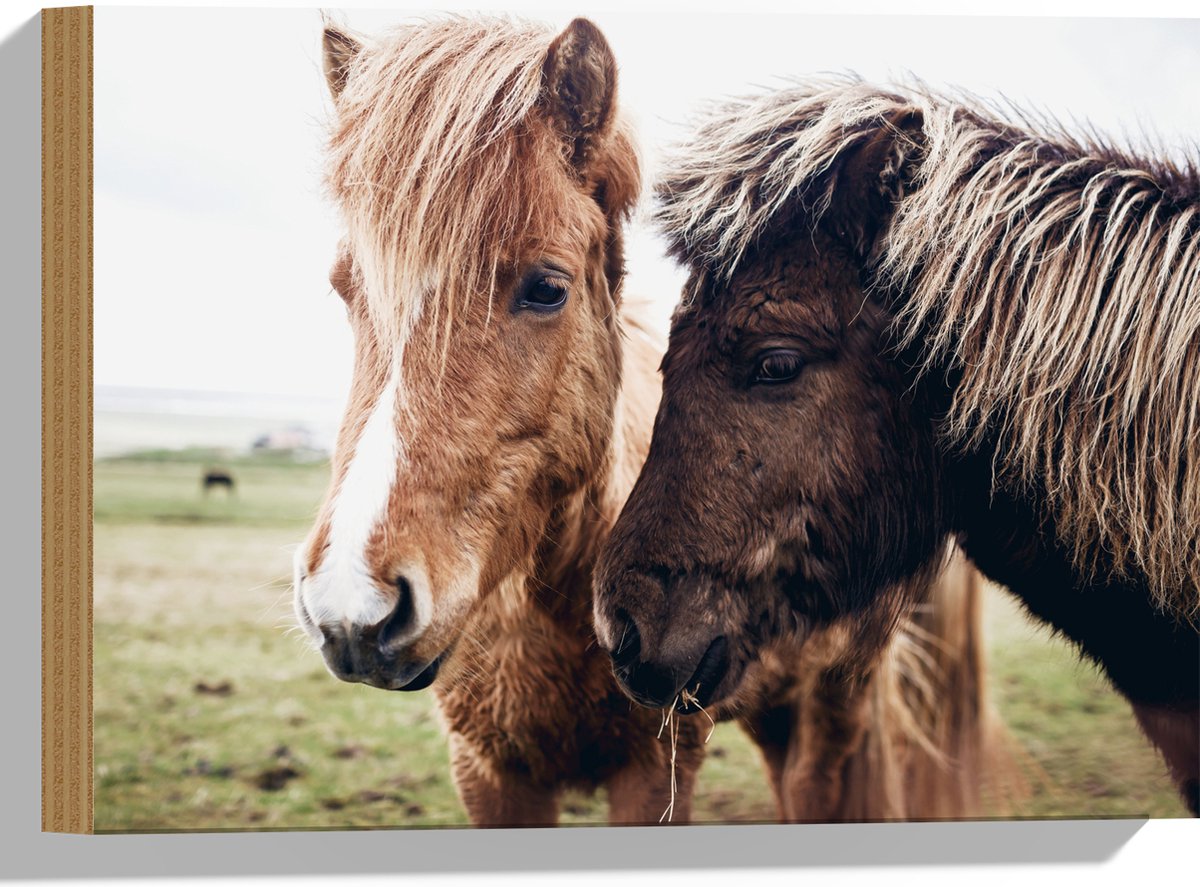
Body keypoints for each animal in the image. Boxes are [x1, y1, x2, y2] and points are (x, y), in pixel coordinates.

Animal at [292, 18, 1004, 826]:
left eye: (547, 288)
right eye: (343, 288)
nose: (352, 607)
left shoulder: (656, 766)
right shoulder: (490, 773)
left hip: (830, 710)